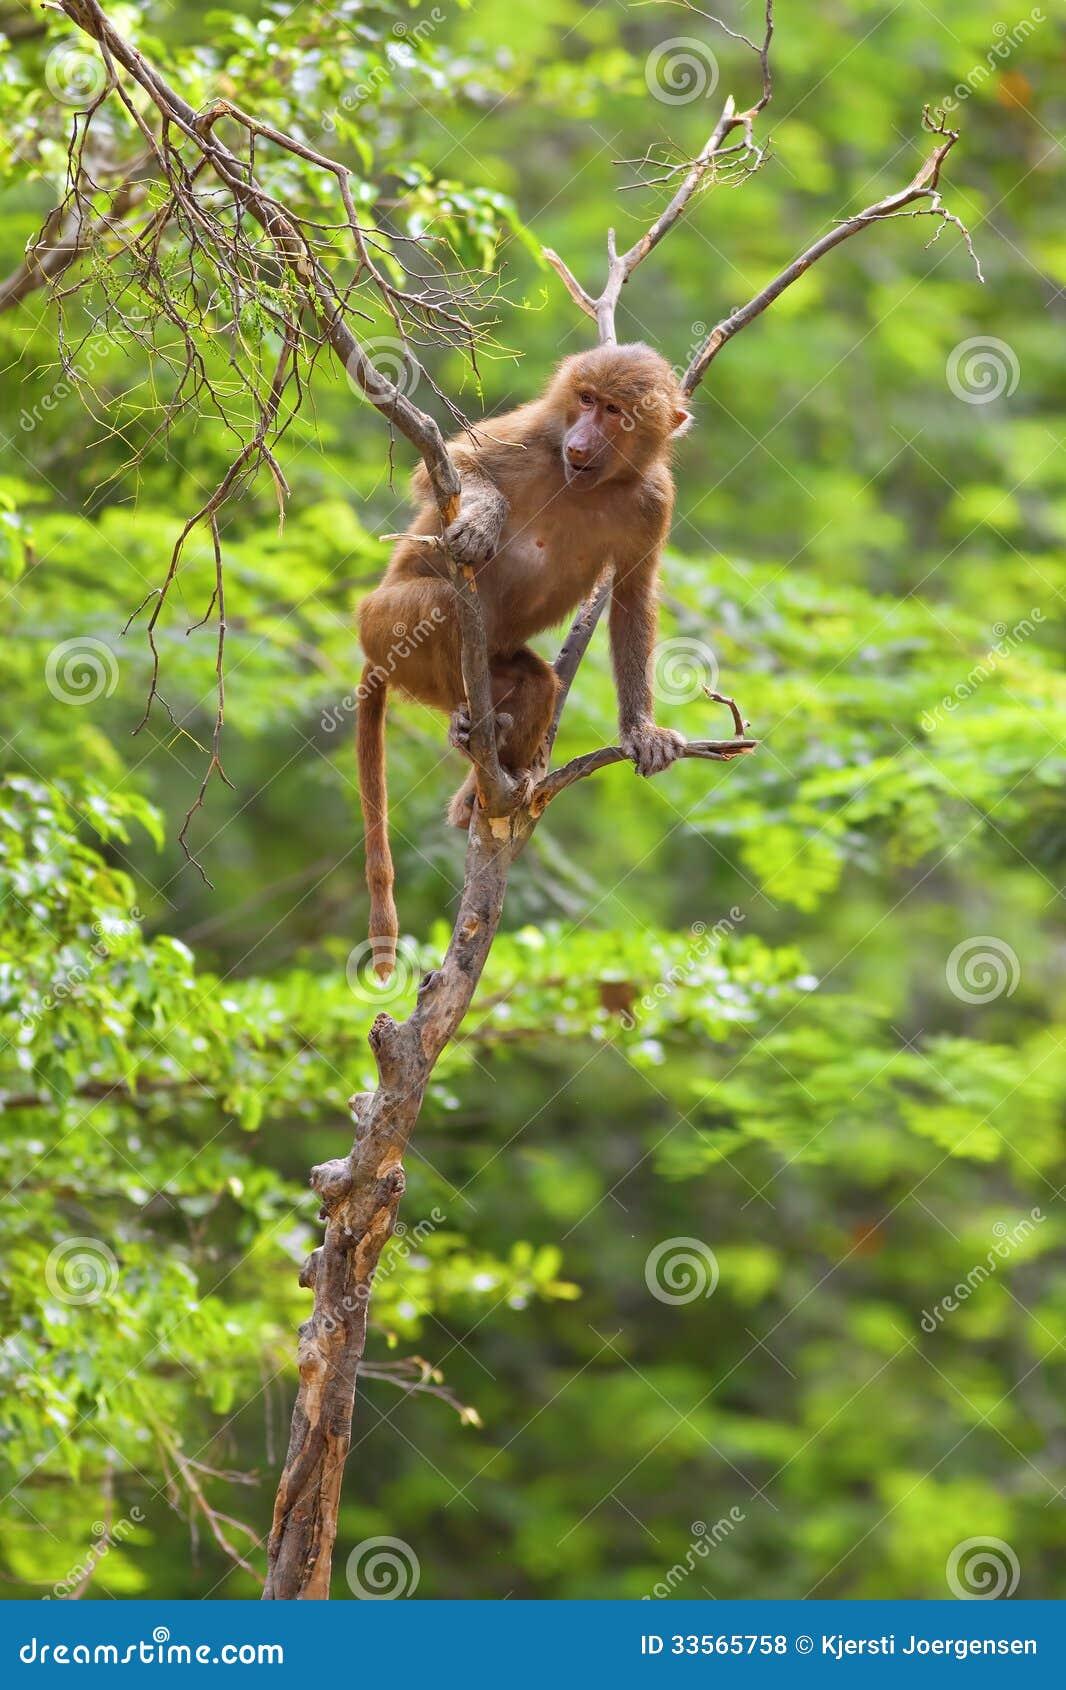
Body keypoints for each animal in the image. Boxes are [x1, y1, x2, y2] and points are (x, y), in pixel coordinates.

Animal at [356, 341, 693, 978]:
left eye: (614, 411)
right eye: (585, 399)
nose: (580, 442)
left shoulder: (653, 500)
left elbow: (633, 600)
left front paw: (641, 731)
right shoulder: (534, 435)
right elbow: (447, 467)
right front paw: (481, 520)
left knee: (538, 687)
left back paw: (478, 790)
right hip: (380, 626)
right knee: (439, 603)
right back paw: (466, 727)